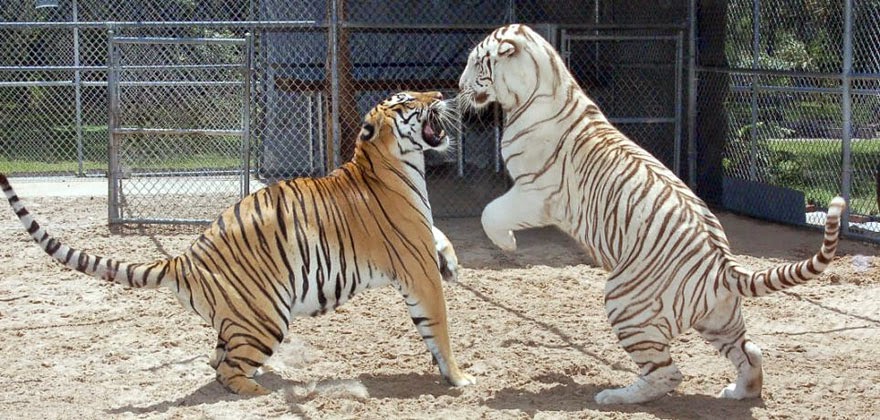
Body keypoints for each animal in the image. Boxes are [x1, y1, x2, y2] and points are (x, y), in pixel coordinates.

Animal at [1, 91, 475, 396]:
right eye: (407, 102)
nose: (439, 92)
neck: (398, 166)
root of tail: (182, 259)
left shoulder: (425, 233)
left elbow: (442, 235)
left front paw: (453, 262)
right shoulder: (417, 270)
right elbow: (440, 327)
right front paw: (458, 378)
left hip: (238, 320)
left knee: (217, 359)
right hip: (268, 318)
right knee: (227, 372)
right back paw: (259, 392)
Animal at [458, 24, 846, 404]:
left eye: (476, 63)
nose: (459, 87)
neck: (544, 82)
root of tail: (724, 266)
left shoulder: (534, 193)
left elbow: (490, 212)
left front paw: (506, 245)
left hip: (625, 302)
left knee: (667, 374)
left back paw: (615, 396)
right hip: (719, 319)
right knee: (750, 353)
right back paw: (738, 392)